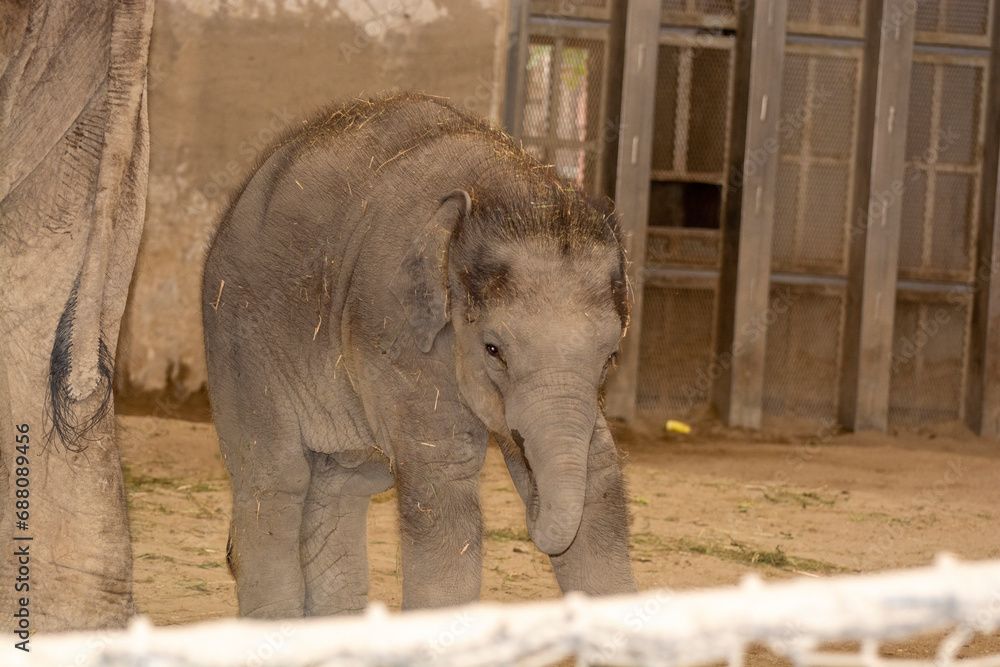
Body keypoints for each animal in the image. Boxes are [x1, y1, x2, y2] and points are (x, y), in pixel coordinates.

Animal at [202, 92, 637, 618]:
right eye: (494, 350)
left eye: (610, 358)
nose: (520, 450)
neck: (498, 186)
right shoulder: (395, 327)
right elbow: (442, 483)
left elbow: (600, 473)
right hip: (237, 338)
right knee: (275, 479)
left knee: (342, 485)